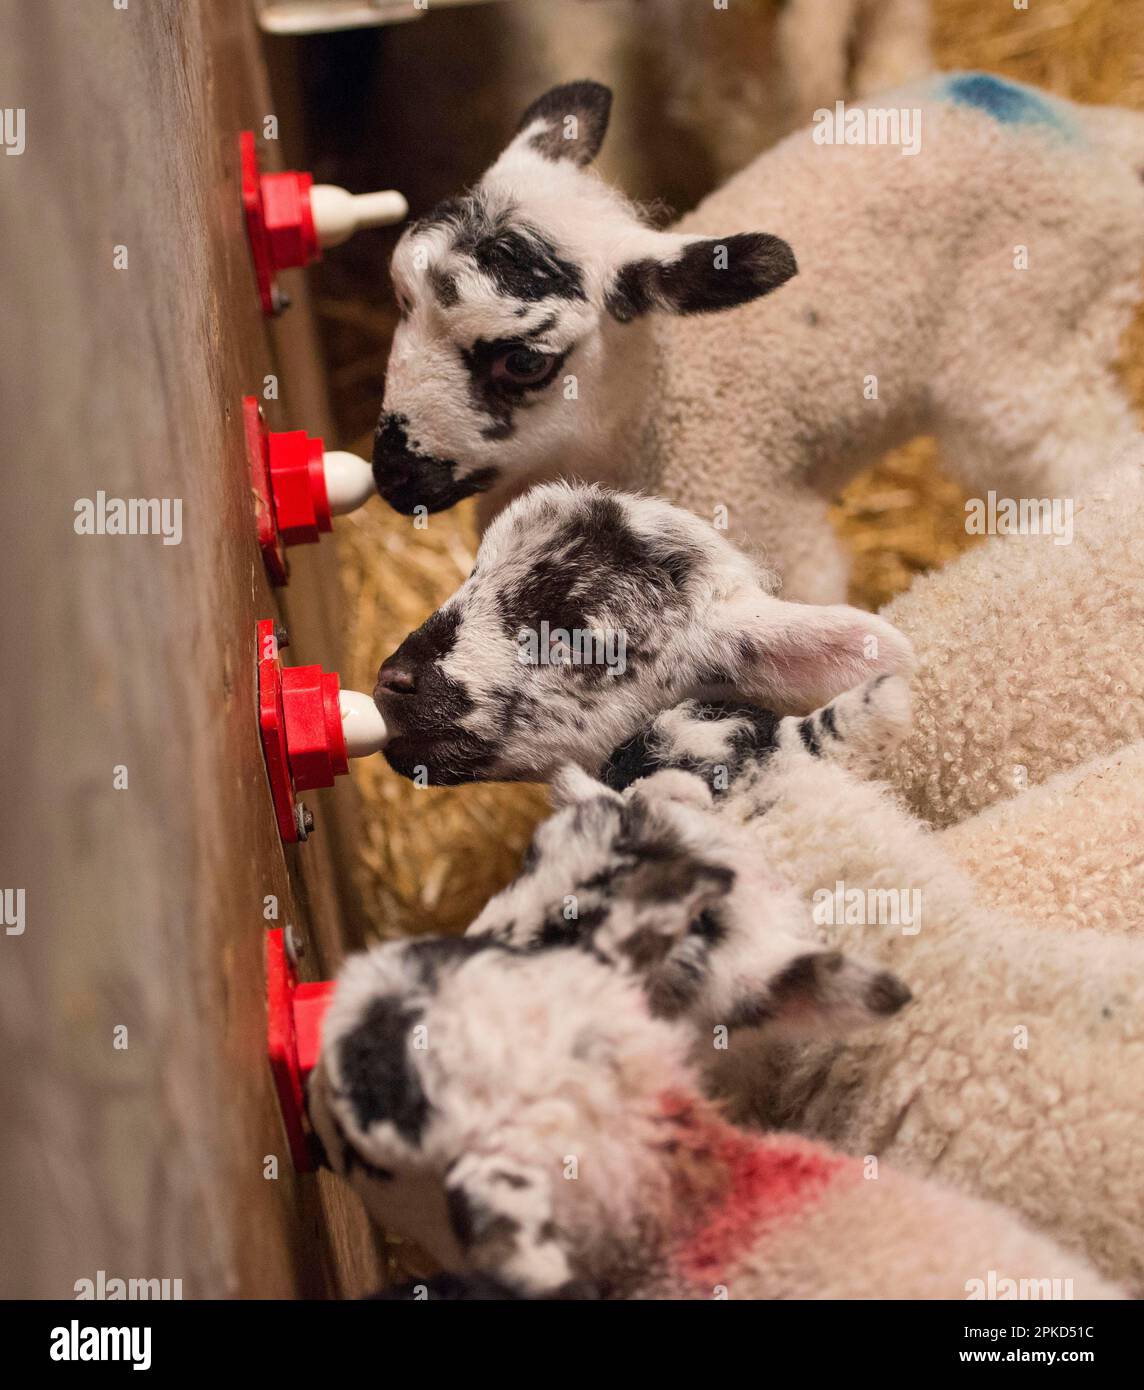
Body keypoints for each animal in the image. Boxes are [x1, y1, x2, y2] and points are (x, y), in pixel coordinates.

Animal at [372, 75, 1144, 602]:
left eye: (524, 361)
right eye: (400, 298)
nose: (391, 476)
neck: (659, 412)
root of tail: (1085, 130)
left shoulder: (777, 542)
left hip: (1025, 354)